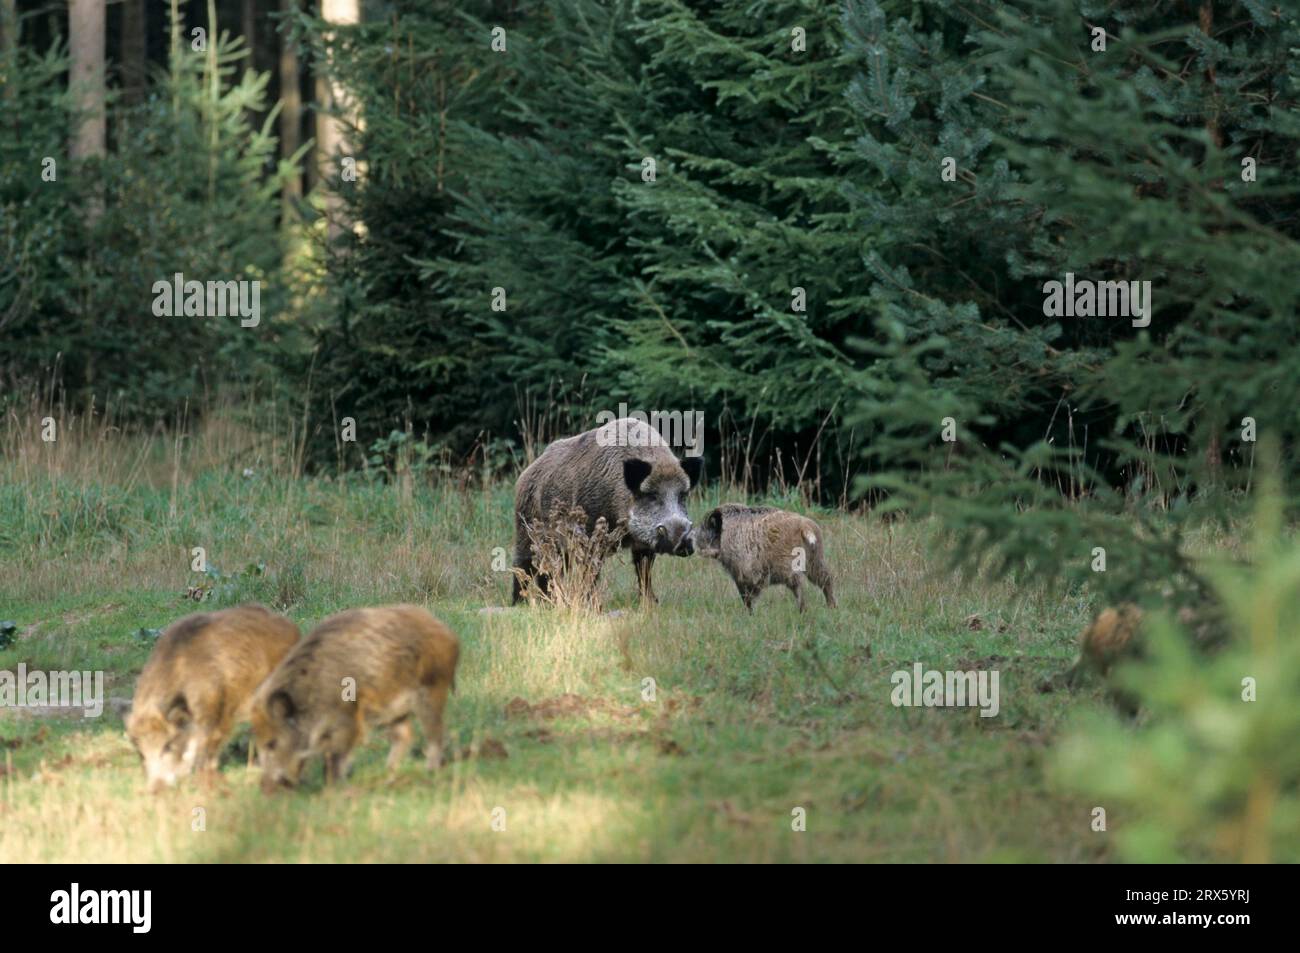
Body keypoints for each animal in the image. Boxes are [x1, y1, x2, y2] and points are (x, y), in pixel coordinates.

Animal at [125, 604, 300, 792]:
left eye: (168, 746)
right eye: (140, 752)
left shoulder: (220, 711)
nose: (155, 790)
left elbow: (210, 745)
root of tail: (293, 628)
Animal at [251, 604, 459, 791]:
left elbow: (337, 757)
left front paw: (335, 789)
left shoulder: (348, 719)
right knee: (405, 735)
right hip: (394, 712)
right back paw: (388, 777)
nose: (265, 789)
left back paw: (430, 772)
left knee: (435, 734)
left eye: (272, 743)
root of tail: (449, 635)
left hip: (432, 691)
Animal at [512, 417, 704, 605]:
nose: (684, 542)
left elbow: (644, 571)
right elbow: (591, 571)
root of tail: (524, 475)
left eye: (682, 495)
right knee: (523, 565)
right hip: (527, 533)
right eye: (651, 495)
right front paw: (591, 604)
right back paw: (519, 602)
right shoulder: (590, 536)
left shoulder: (643, 544)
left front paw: (651, 603)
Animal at [691, 503, 837, 612]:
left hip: (790, 566)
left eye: (706, 527)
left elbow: (747, 596)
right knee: (826, 579)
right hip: (815, 560)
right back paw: (832, 607)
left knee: (799, 585)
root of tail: (805, 527)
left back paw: (803, 610)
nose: (692, 539)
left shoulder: (744, 574)